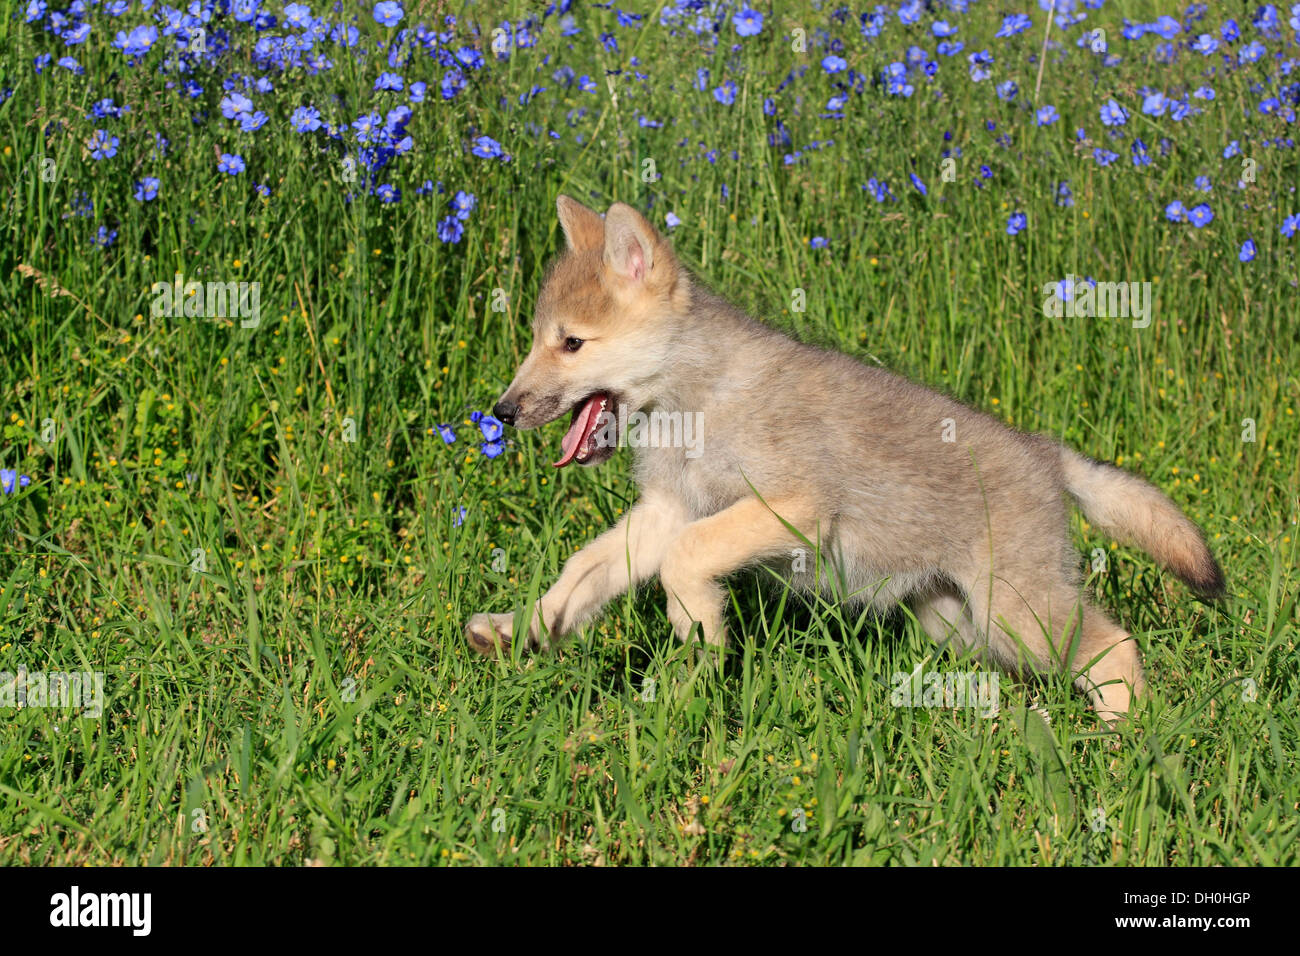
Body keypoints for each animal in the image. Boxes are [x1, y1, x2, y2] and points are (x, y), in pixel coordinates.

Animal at [465, 195, 1224, 722]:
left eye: (571, 344)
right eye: (536, 339)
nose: (503, 411)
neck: (699, 394)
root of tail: (1050, 454)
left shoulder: (788, 508)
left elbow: (687, 559)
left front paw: (699, 632)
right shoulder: (666, 510)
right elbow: (580, 575)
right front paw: (522, 631)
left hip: (1022, 618)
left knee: (1115, 649)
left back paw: (1119, 747)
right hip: (966, 626)